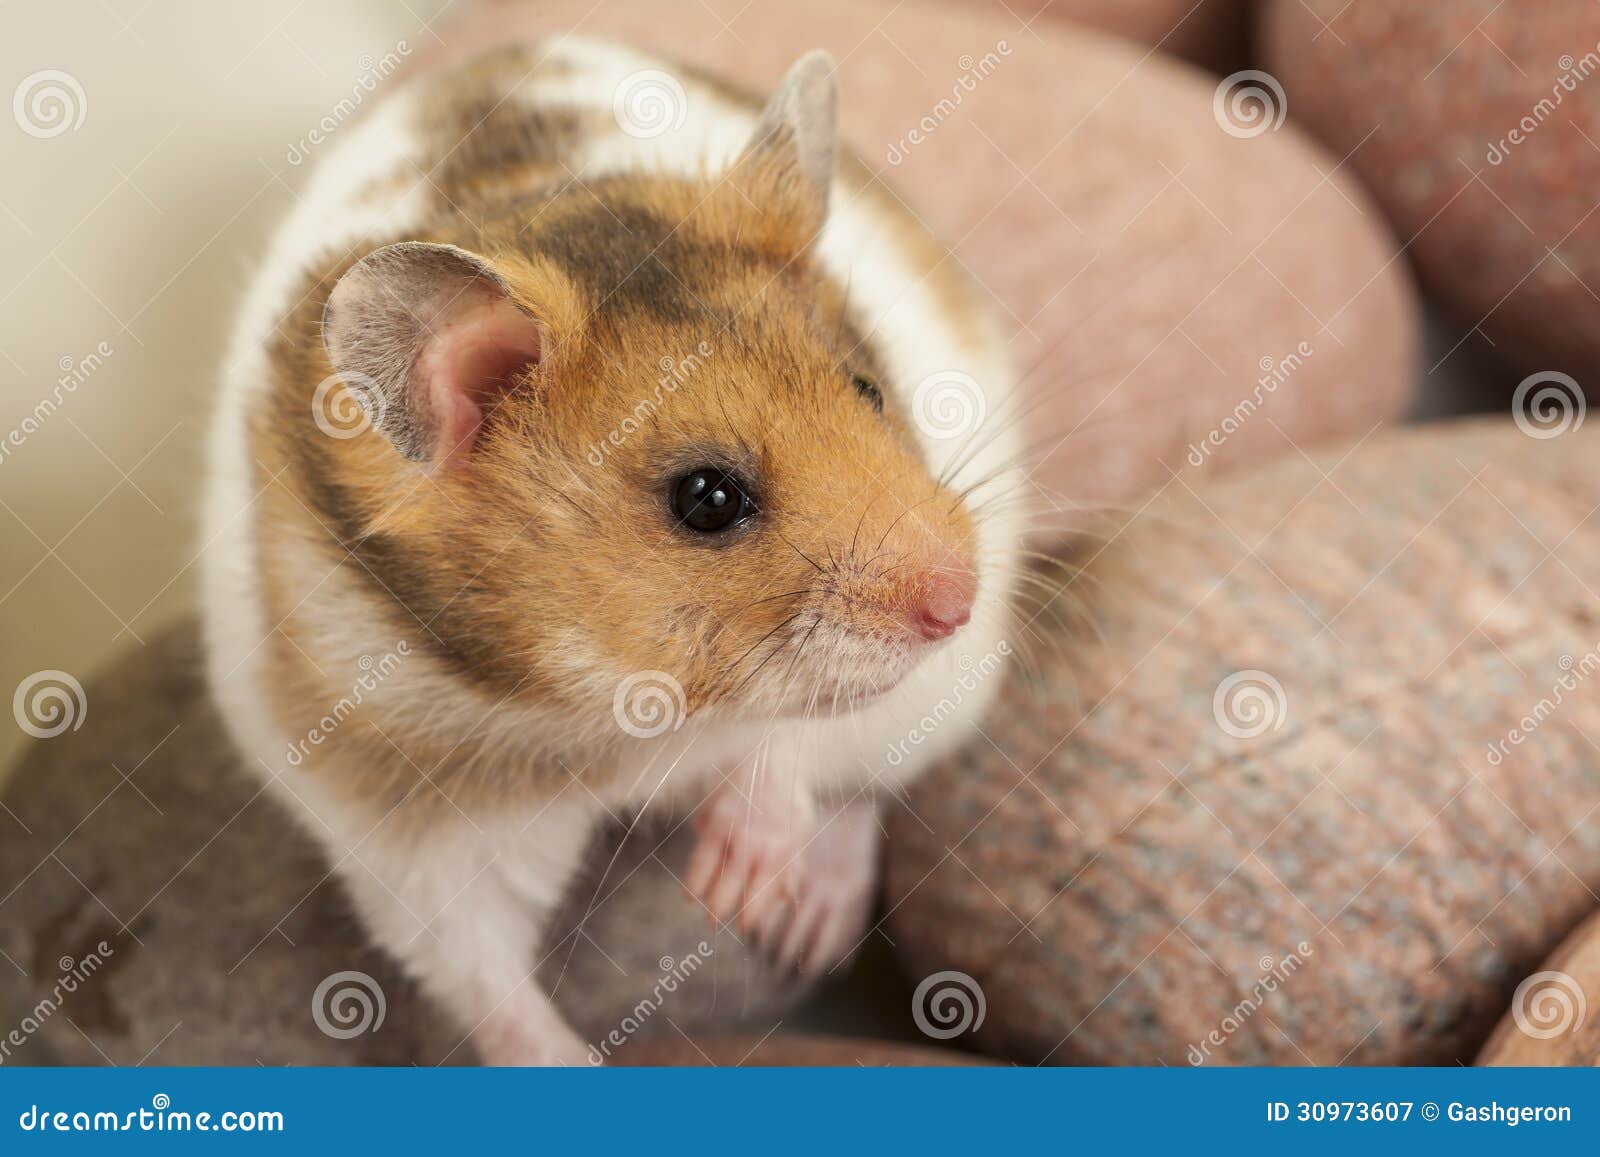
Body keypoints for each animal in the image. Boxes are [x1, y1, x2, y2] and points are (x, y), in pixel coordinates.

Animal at [200, 36, 1025, 1065]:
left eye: (871, 390)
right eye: (707, 499)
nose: (959, 599)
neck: (608, 718)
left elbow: (781, 739)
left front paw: (736, 890)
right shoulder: (408, 841)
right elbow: (484, 981)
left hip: (951, 691)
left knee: (865, 787)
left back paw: (804, 926)